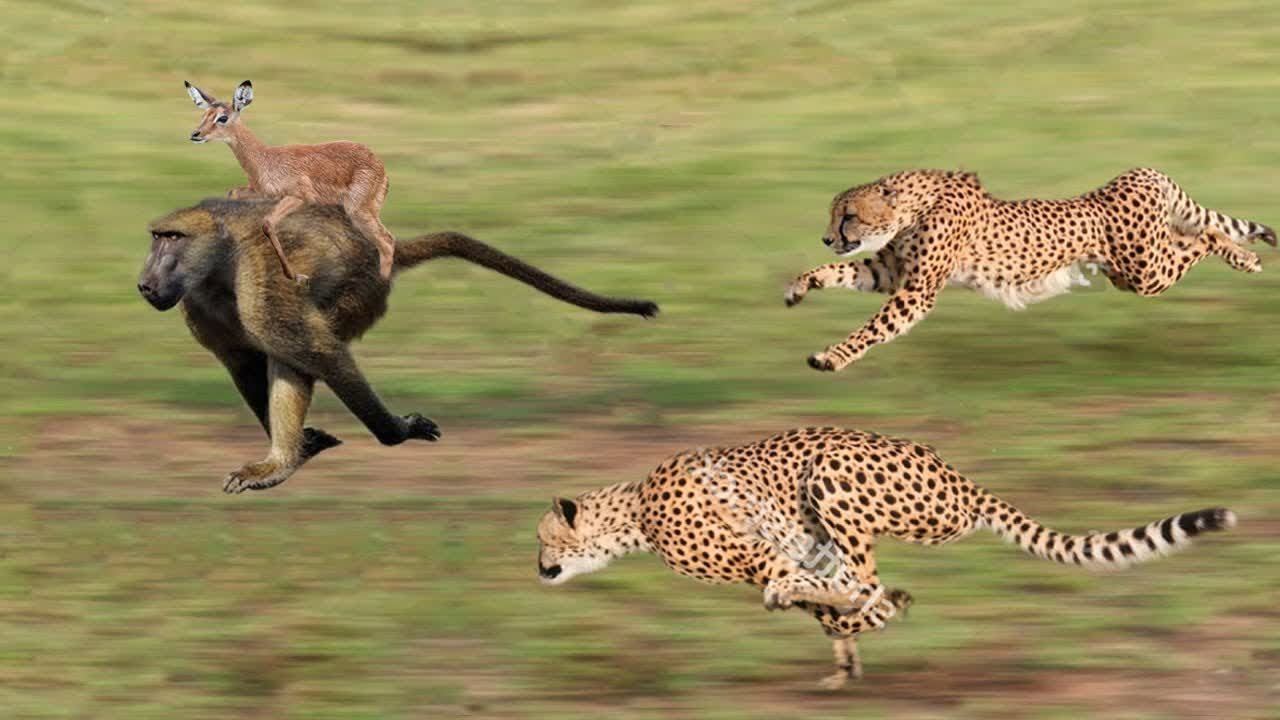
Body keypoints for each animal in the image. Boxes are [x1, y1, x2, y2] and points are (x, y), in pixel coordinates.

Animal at [137, 196, 659, 493]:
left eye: (172, 238)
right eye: (156, 238)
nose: (145, 282)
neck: (220, 261)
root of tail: (377, 246)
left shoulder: (263, 281)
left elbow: (317, 353)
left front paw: (396, 433)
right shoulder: (199, 303)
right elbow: (242, 362)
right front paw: (306, 446)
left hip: (362, 292)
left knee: (298, 353)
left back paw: (283, 463)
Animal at [184, 80, 396, 282]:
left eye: (223, 117)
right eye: (204, 115)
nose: (195, 134)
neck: (266, 160)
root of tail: (382, 168)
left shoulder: (299, 196)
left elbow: (267, 223)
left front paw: (296, 276)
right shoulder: (259, 191)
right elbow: (233, 194)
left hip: (359, 210)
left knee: (387, 241)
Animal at [536, 427, 1237, 688]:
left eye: (543, 539)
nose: (537, 568)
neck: (631, 511)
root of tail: (960, 479)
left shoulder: (767, 552)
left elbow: (816, 592)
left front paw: (847, 630)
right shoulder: (798, 550)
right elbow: (828, 601)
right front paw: (845, 657)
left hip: (831, 475)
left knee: (867, 585)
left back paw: (873, 607)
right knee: (865, 585)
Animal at [785, 168, 1276, 371]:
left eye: (848, 216)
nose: (828, 237)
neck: (912, 204)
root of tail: (1139, 173)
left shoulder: (917, 291)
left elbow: (872, 328)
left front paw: (832, 357)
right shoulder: (890, 272)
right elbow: (838, 272)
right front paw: (799, 286)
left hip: (1146, 272)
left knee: (1206, 235)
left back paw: (1245, 257)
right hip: (1139, 266)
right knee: (1198, 234)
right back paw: (1246, 253)